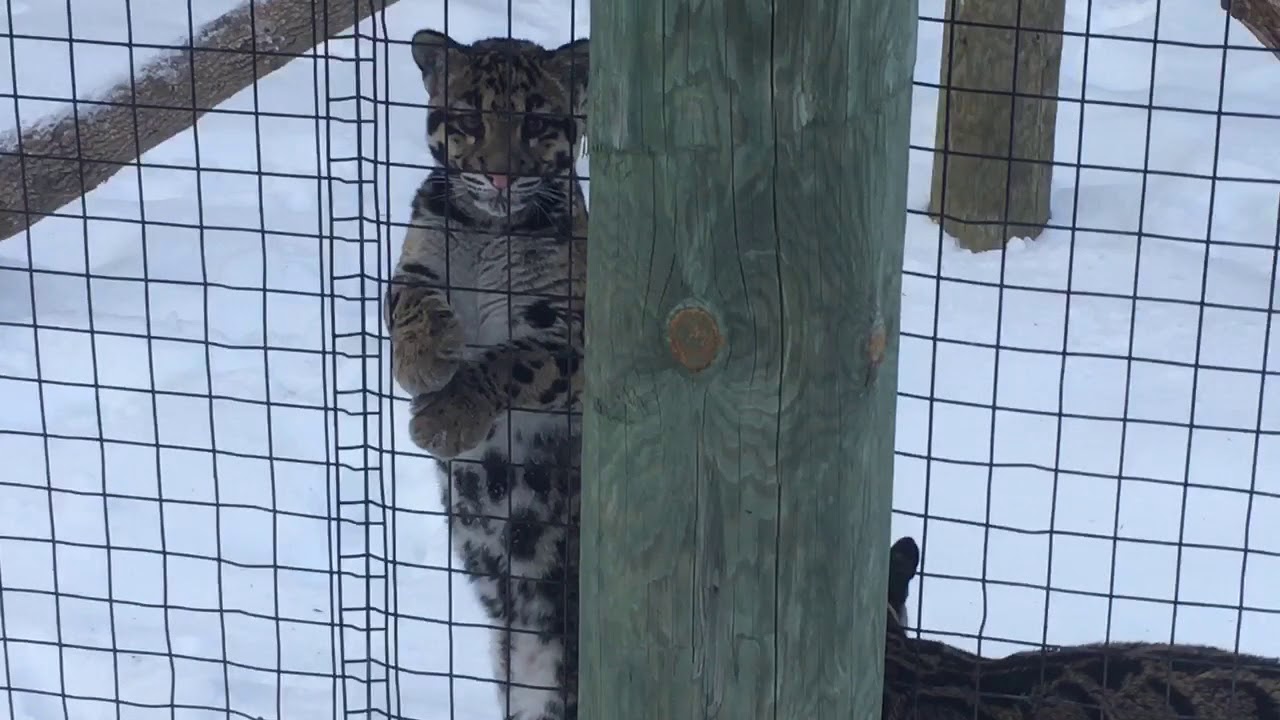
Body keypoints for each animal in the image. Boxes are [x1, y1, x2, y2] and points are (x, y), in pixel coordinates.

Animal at [383, 28, 589, 720]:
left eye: (537, 122)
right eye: (470, 118)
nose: (501, 175)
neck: (490, 228)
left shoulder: (579, 335)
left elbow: (514, 358)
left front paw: (446, 418)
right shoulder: (415, 258)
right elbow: (407, 299)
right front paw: (425, 356)